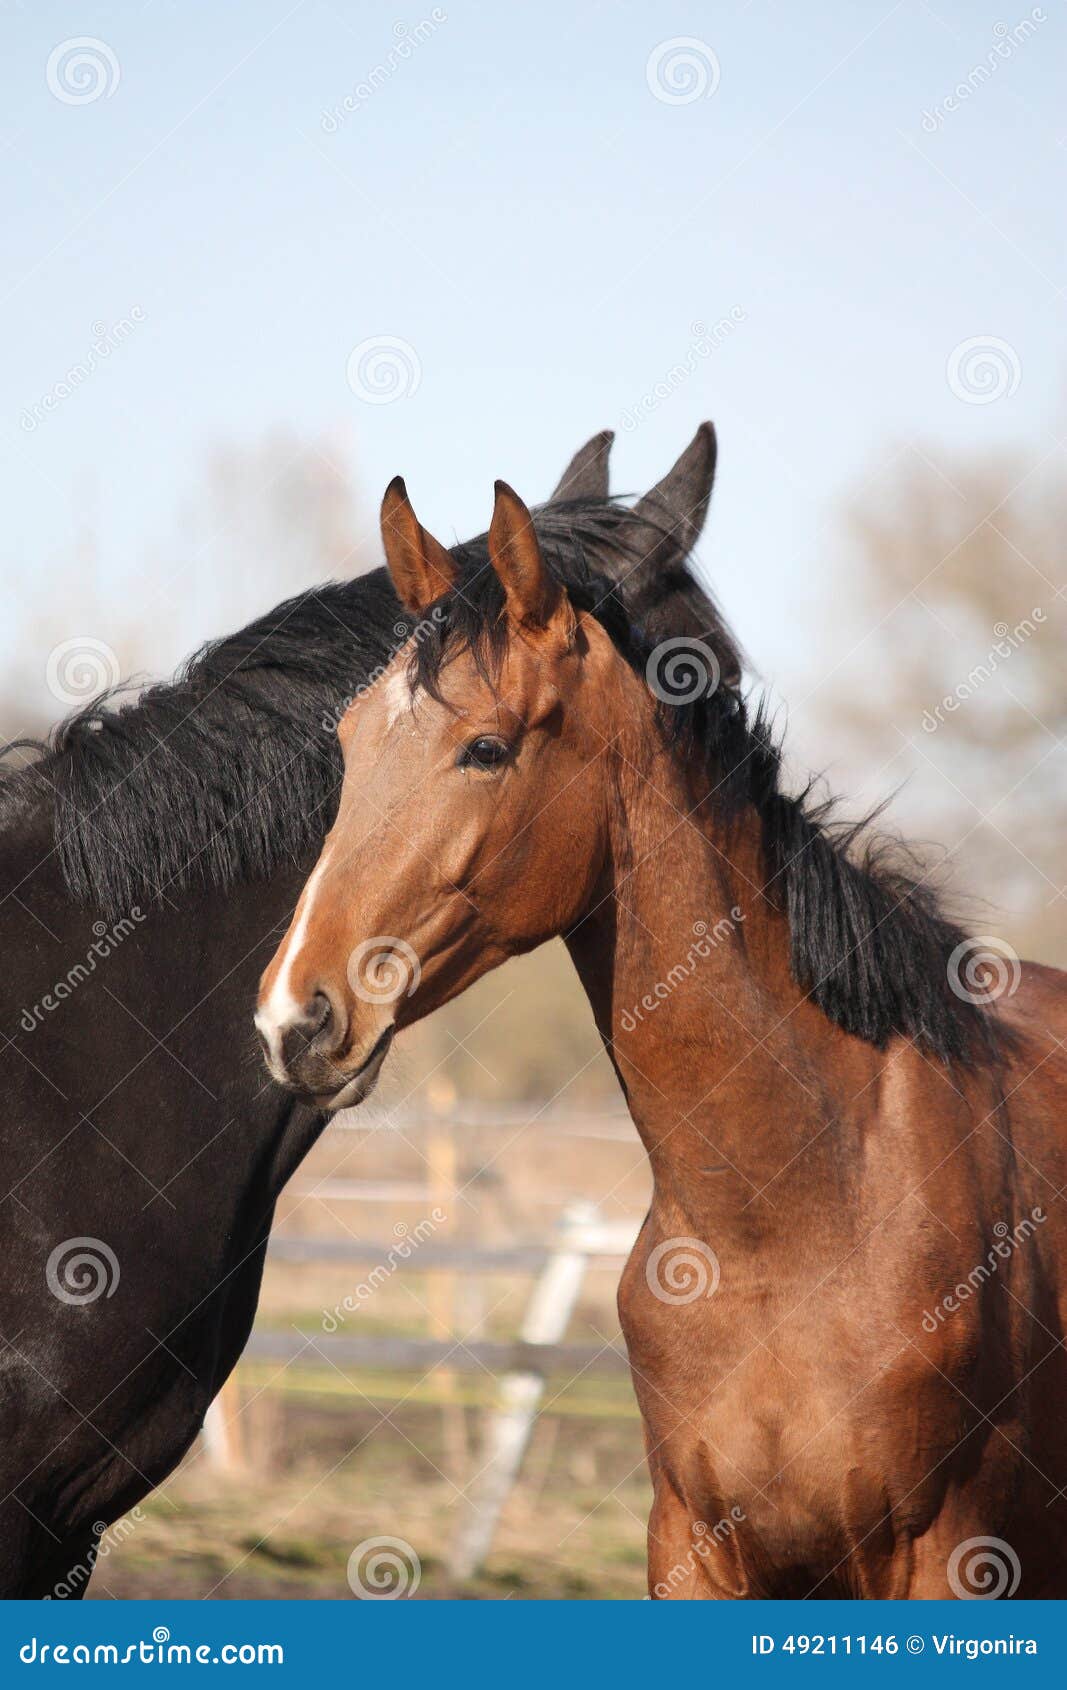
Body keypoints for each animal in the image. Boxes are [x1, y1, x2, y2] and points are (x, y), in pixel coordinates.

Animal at [258, 474, 1067, 1599]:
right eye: (347, 743)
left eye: (486, 747)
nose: (294, 1015)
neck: (800, 1218)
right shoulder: (691, 1549)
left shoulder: (953, 1556)